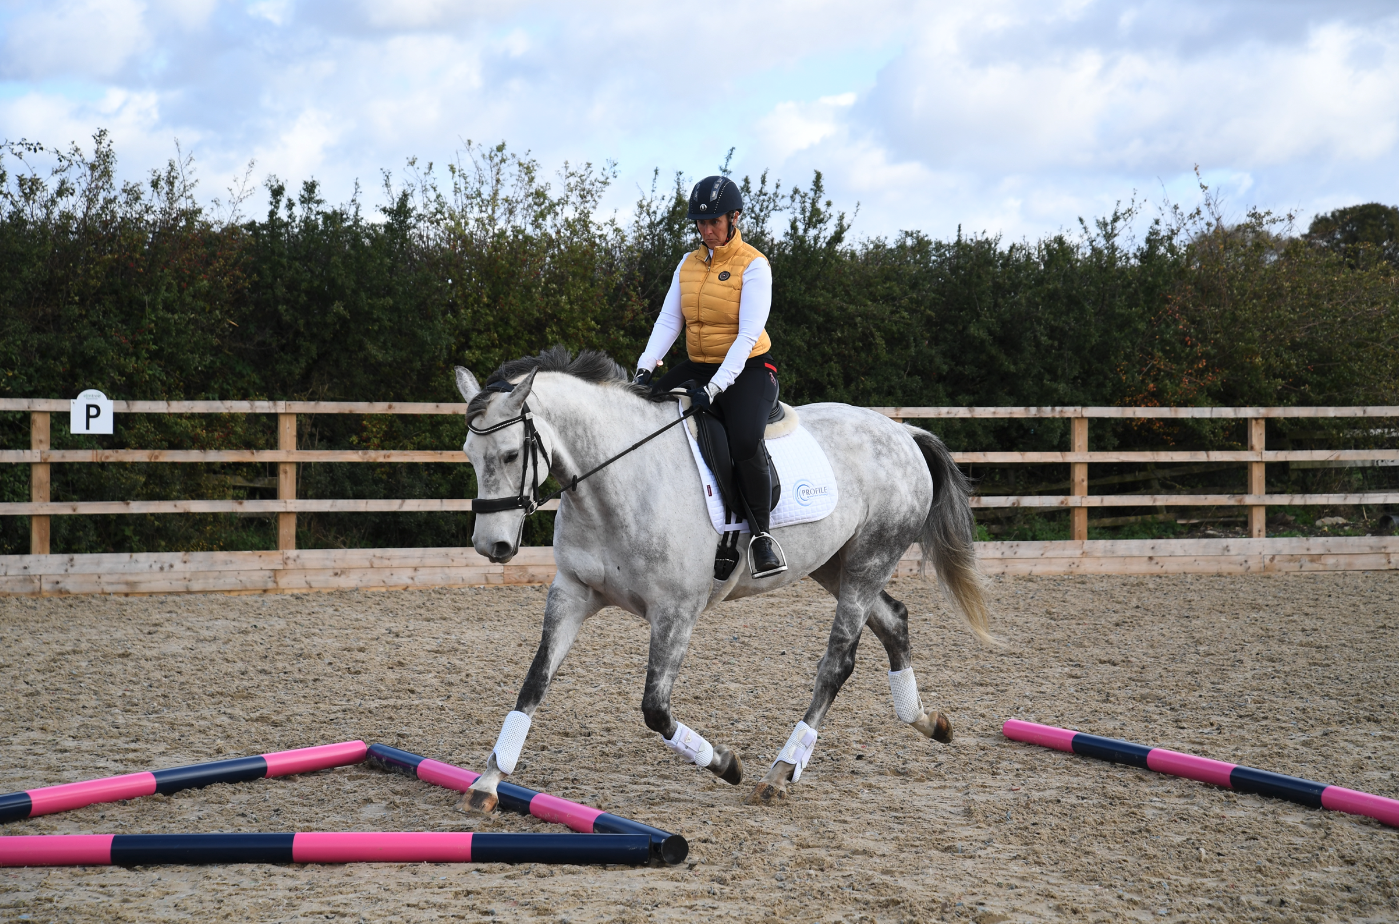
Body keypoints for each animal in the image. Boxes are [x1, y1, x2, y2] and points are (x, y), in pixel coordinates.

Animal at [454, 346, 992, 808]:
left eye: (509, 454)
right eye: (470, 455)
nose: (491, 546)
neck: (619, 481)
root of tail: (904, 434)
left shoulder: (675, 612)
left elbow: (655, 709)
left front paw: (727, 765)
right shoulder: (571, 593)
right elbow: (534, 683)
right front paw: (488, 783)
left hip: (868, 562)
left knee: (837, 663)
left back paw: (779, 772)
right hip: (834, 565)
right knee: (894, 620)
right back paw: (927, 721)